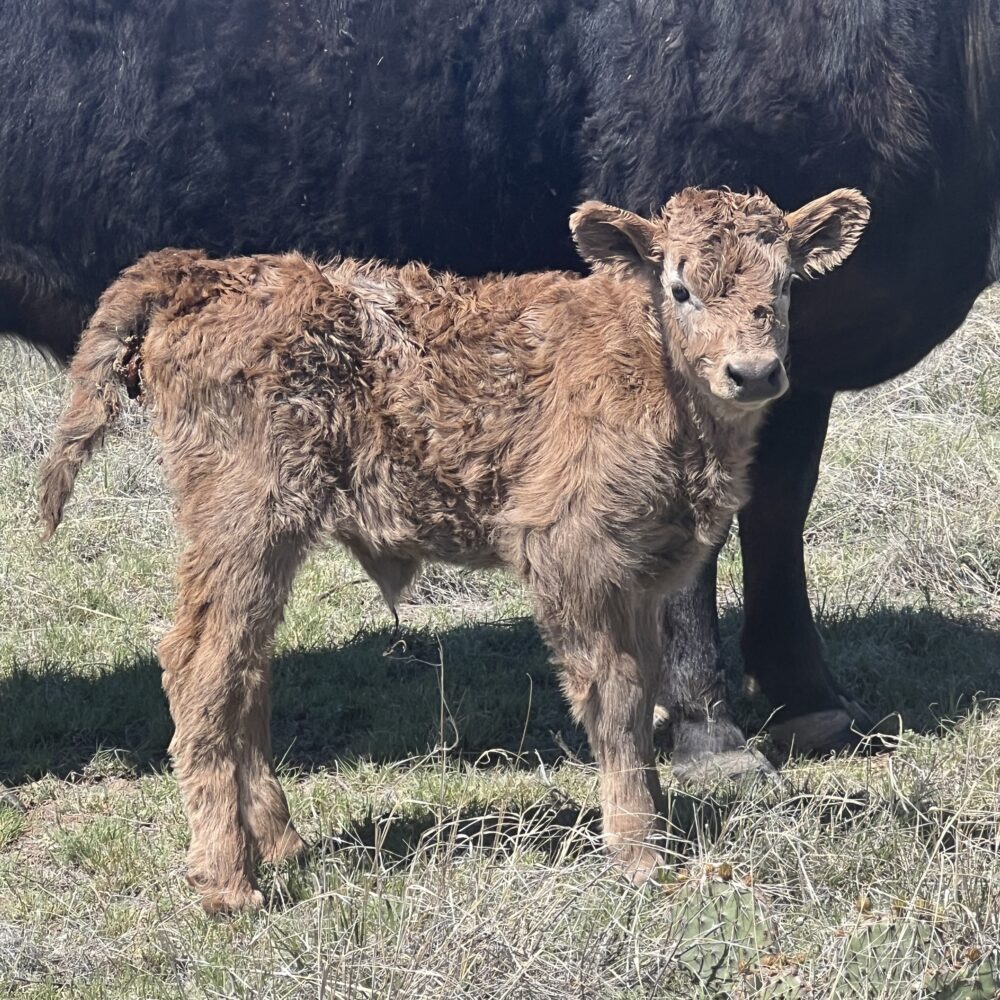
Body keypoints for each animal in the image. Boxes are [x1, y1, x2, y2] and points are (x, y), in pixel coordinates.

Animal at [38, 187, 870, 911]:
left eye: (785, 284)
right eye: (681, 287)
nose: (753, 372)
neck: (648, 364)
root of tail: (203, 276)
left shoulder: (642, 576)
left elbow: (645, 688)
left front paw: (656, 825)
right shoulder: (572, 555)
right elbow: (617, 695)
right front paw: (637, 852)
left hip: (263, 539)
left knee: (248, 667)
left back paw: (280, 843)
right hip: (246, 517)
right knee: (202, 663)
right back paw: (227, 881)